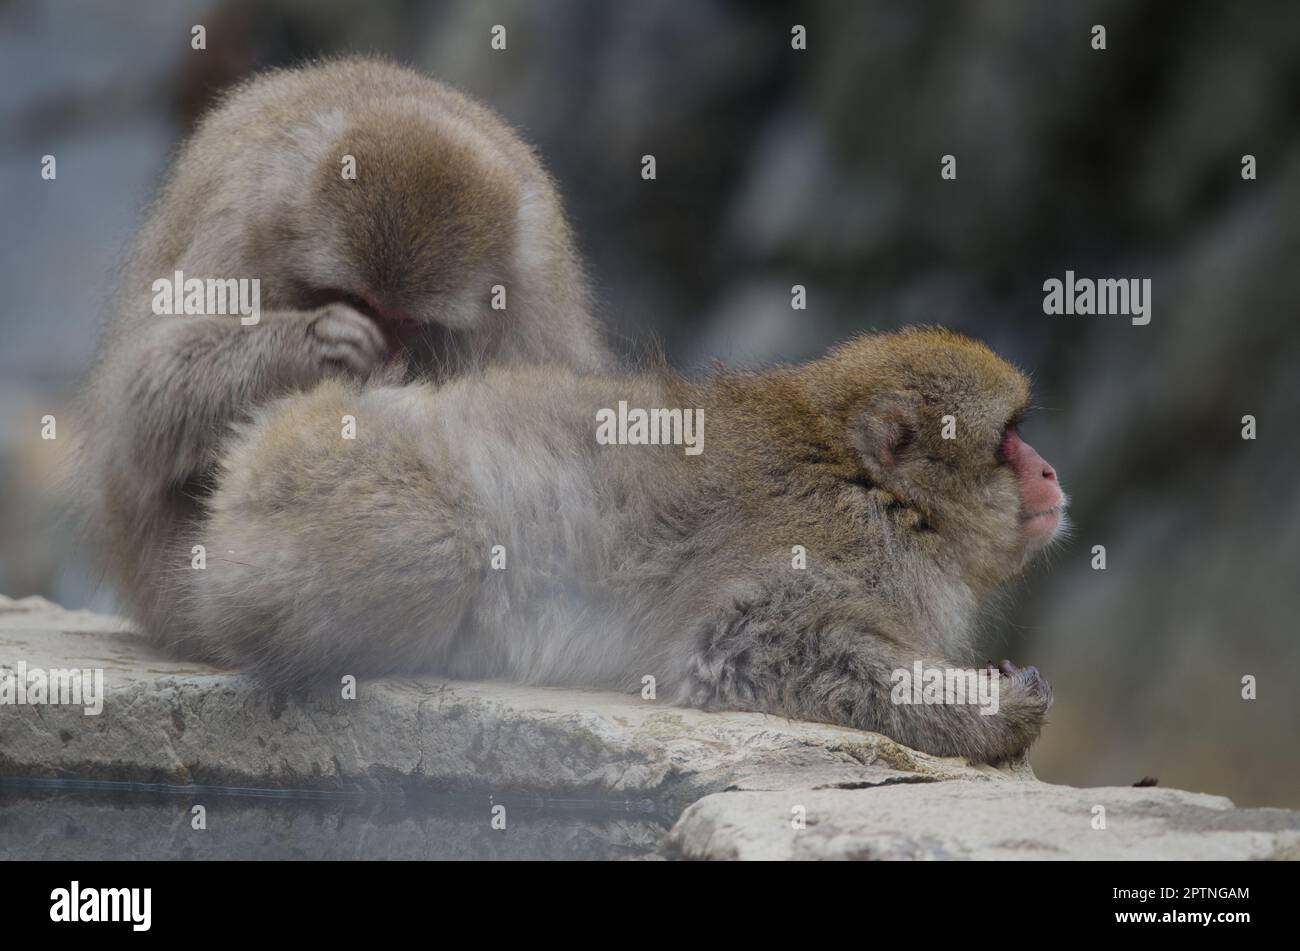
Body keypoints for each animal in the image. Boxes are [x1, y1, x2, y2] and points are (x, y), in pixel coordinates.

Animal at [73, 57, 609, 652]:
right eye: (358, 301)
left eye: (410, 322)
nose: (389, 350)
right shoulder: (244, 223)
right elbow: (148, 397)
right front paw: (316, 346)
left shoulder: (530, 297)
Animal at [178, 327, 1067, 764]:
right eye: (1008, 440)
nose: (1051, 470)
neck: (881, 493)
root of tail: (258, 444)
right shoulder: (837, 548)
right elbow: (747, 641)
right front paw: (996, 713)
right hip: (314, 491)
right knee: (439, 550)